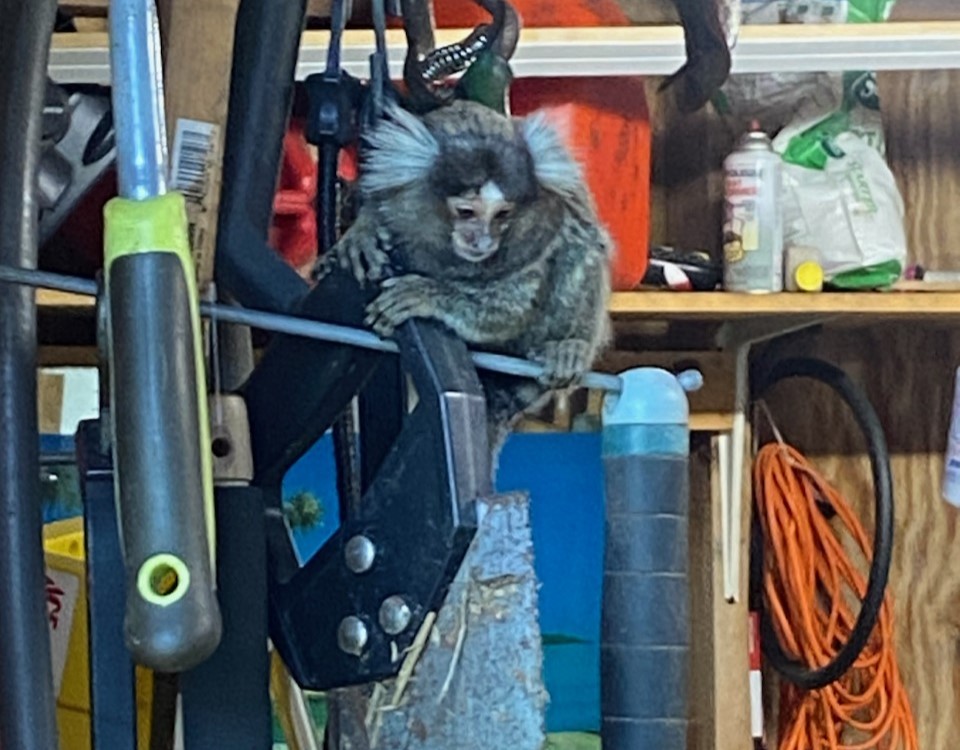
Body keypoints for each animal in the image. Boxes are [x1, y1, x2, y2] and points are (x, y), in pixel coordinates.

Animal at [322, 98, 613, 473]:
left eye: (502, 215)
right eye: (466, 212)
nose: (483, 241)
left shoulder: (541, 225)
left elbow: (515, 300)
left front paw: (427, 296)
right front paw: (360, 236)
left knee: (581, 244)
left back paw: (569, 348)